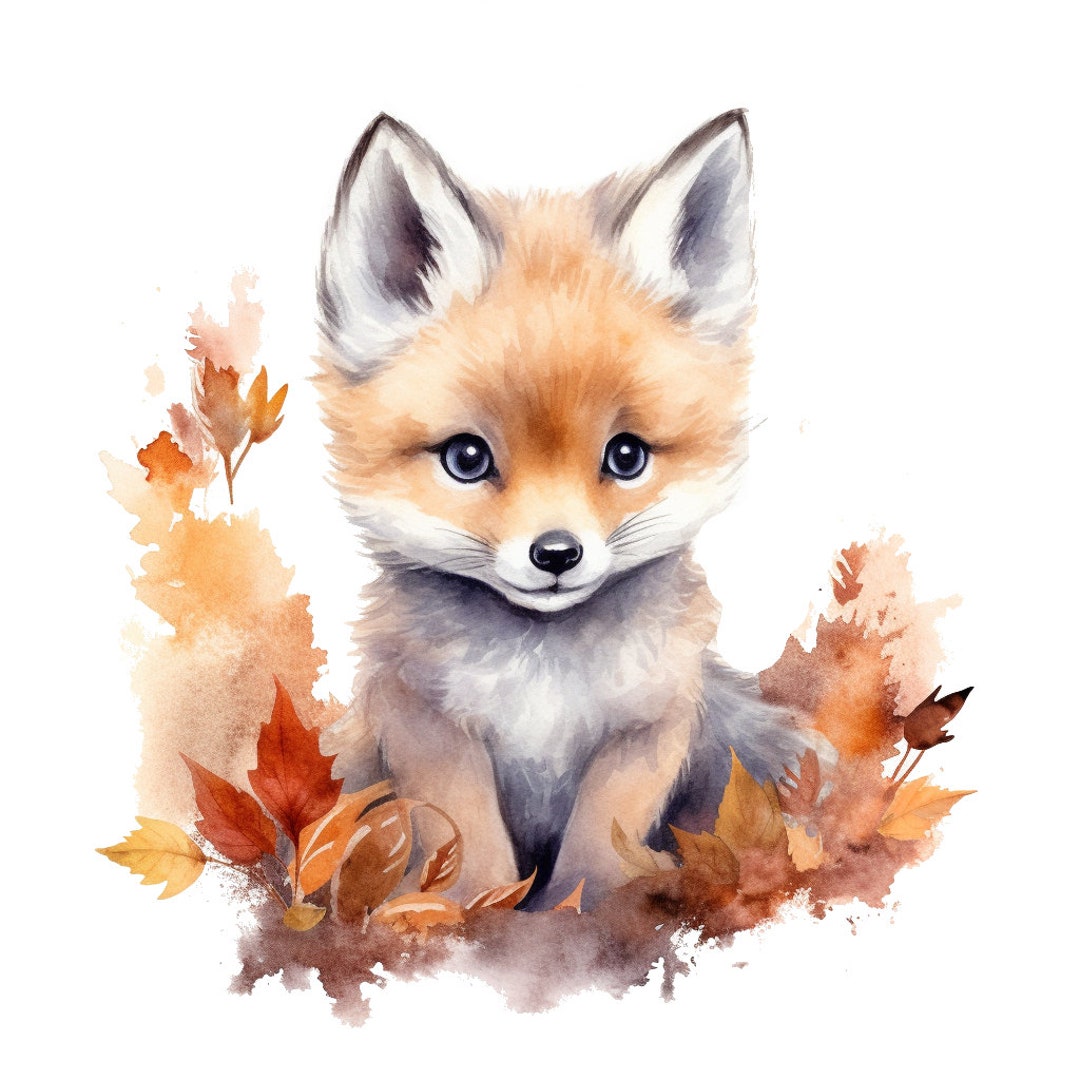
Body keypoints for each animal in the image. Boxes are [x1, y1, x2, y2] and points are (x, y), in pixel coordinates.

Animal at [315, 111, 824, 909]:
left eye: (627, 456)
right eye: (467, 458)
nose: (556, 554)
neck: (541, 675)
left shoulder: (651, 721)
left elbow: (598, 843)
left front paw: (588, 910)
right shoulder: (420, 716)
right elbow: (467, 840)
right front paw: (472, 914)